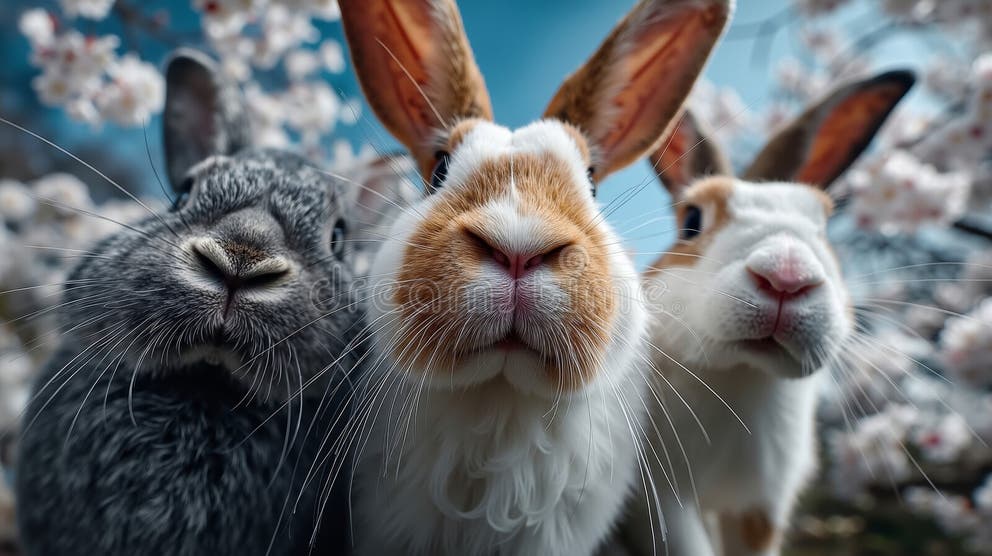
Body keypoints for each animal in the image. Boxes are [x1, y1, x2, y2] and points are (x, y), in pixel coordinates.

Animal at [620, 70, 916, 556]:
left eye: (824, 226)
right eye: (692, 220)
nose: (787, 275)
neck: (743, 372)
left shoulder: (761, 508)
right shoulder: (660, 499)